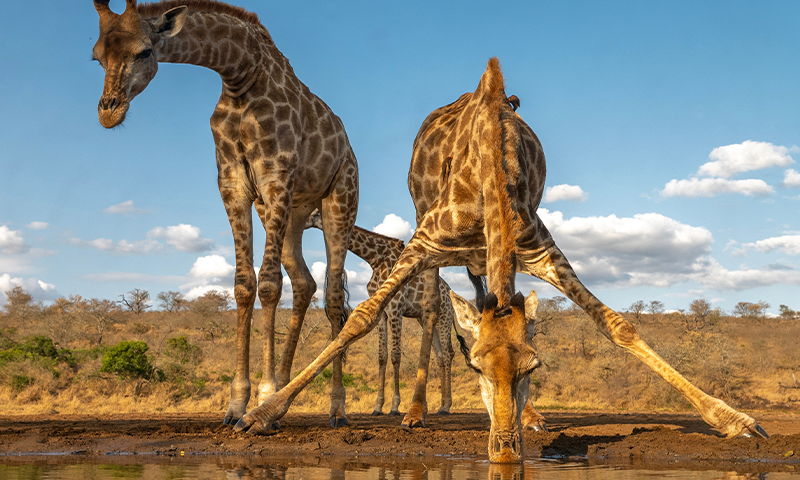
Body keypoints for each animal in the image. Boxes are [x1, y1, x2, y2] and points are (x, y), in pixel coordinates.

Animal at [91, 0, 358, 427]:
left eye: (144, 52)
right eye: (97, 56)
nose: (108, 112)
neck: (240, 75)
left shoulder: (275, 175)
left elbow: (268, 286)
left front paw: (263, 395)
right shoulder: (233, 184)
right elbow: (243, 285)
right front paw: (239, 406)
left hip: (340, 201)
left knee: (333, 297)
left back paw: (335, 409)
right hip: (291, 212)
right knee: (304, 283)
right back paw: (281, 402)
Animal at [305, 210, 456, 416]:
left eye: (313, 214)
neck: (375, 260)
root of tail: (450, 295)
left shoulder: (395, 308)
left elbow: (395, 356)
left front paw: (394, 406)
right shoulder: (382, 313)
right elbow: (382, 357)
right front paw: (377, 406)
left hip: (444, 318)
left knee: (448, 354)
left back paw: (447, 406)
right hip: (425, 320)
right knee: (440, 356)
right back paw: (436, 406)